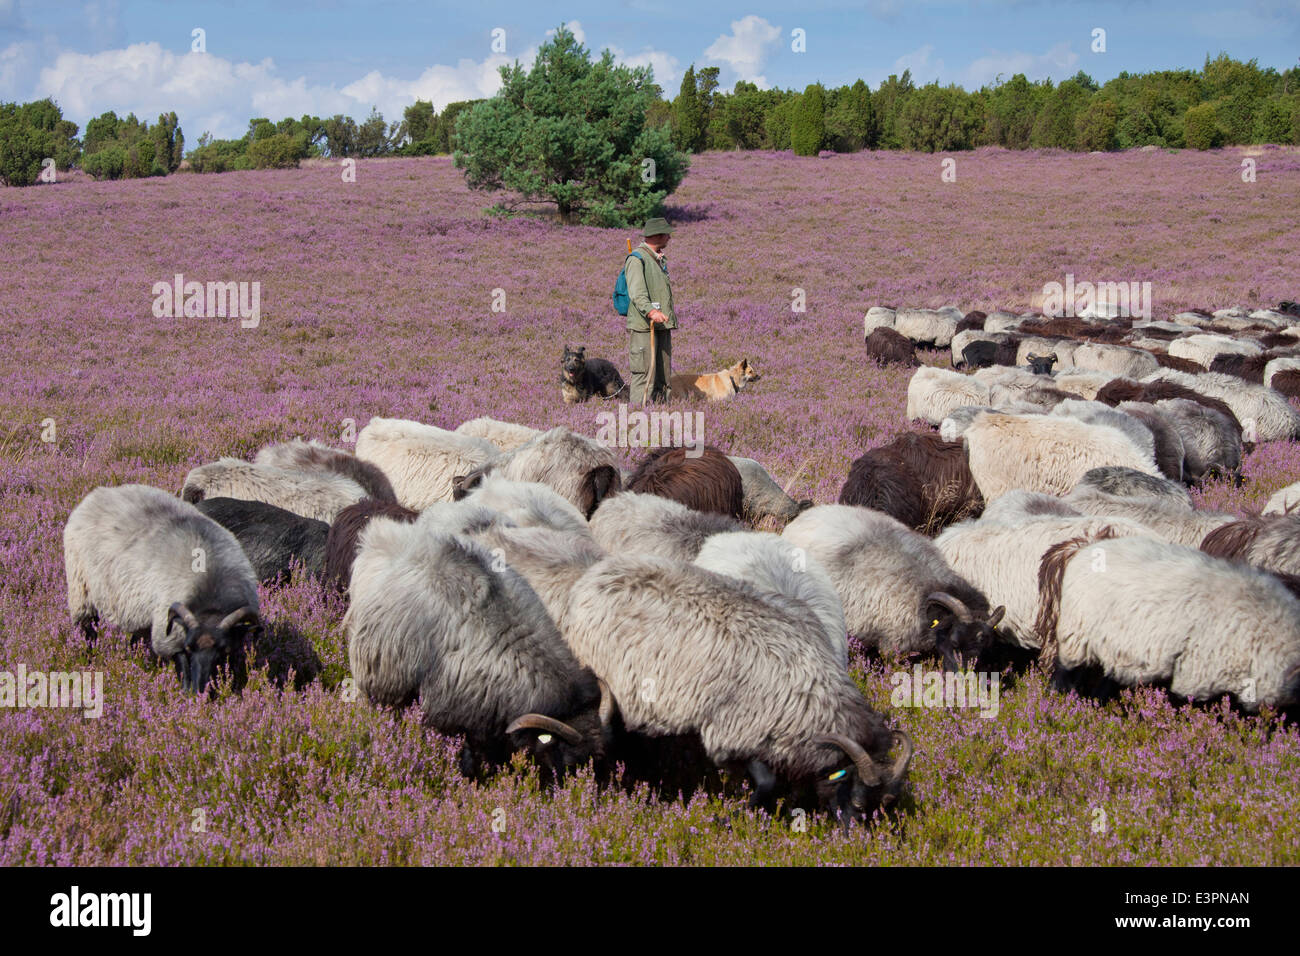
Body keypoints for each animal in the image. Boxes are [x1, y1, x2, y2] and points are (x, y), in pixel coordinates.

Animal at [64, 484, 260, 693]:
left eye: (224, 650)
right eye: (189, 648)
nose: (200, 691)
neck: (212, 595)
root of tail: (99, 492)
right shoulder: (169, 636)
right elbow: (182, 665)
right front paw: (187, 692)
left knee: (135, 641)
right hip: (80, 590)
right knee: (87, 631)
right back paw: (89, 659)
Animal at [564, 552, 912, 820]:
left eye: (886, 806)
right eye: (858, 802)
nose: (855, 840)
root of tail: (596, 574)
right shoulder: (737, 734)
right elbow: (766, 783)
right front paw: (730, 816)